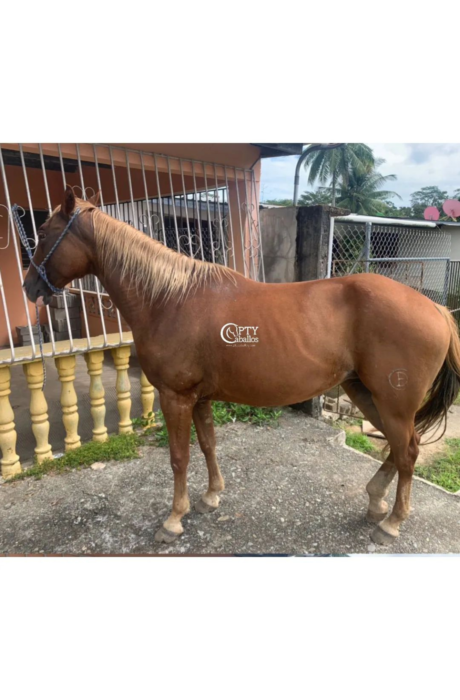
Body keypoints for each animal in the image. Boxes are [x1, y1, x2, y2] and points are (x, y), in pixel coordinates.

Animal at [23, 187, 460, 547]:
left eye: (42, 233)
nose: (29, 287)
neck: (169, 298)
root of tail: (435, 308)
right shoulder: (198, 398)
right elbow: (207, 445)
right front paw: (210, 496)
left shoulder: (175, 397)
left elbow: (178, 457)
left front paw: (173, 520)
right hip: (365, 391)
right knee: (400, 448)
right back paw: (375, 502)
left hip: (394, 401)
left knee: (407, 452)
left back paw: (392, 524)